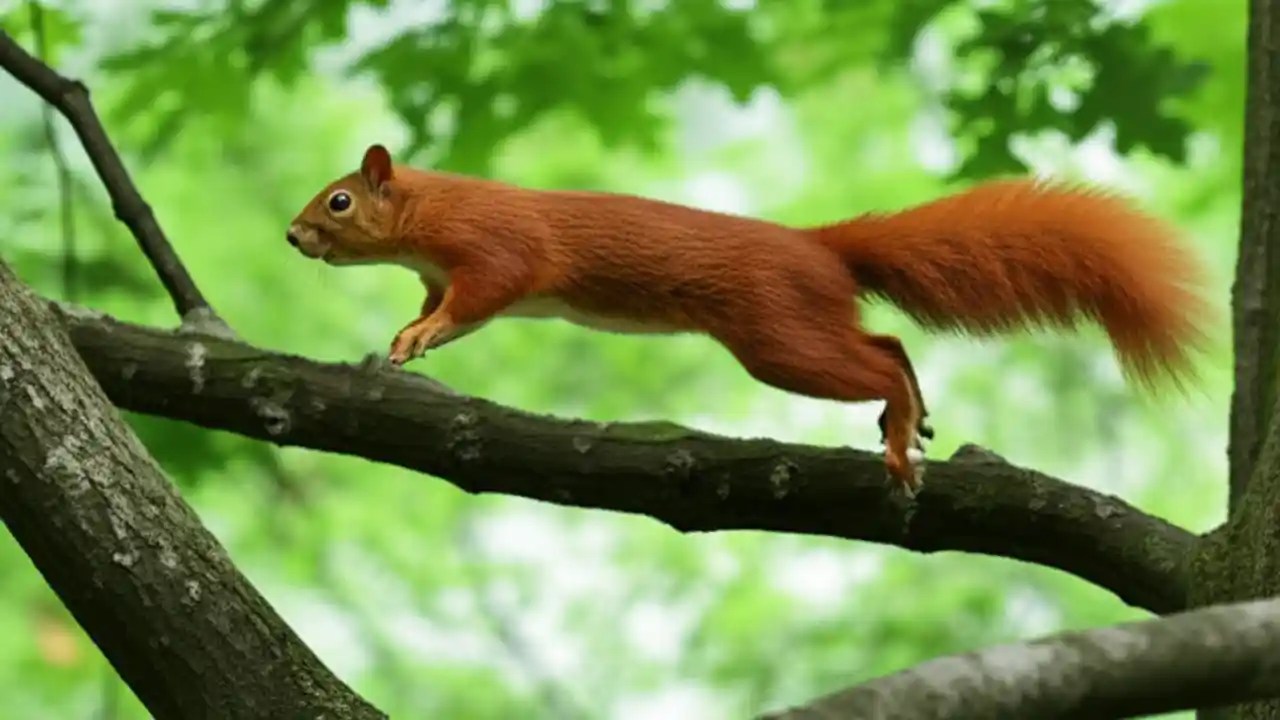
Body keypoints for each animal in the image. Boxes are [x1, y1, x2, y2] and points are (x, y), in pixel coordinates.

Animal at [286, 143, 1211, 496]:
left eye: (339, 200)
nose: (293, 236)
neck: (433, 208)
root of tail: (818, 248)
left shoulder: (497, 253)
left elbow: (479, 298)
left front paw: (417, 340)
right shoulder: (442, 275)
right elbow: (446, 308)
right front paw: (410, 334)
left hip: (776, 336)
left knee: (874, 358)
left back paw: (897, 425)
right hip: (801, 324)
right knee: (886, 338)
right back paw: (910, 412)